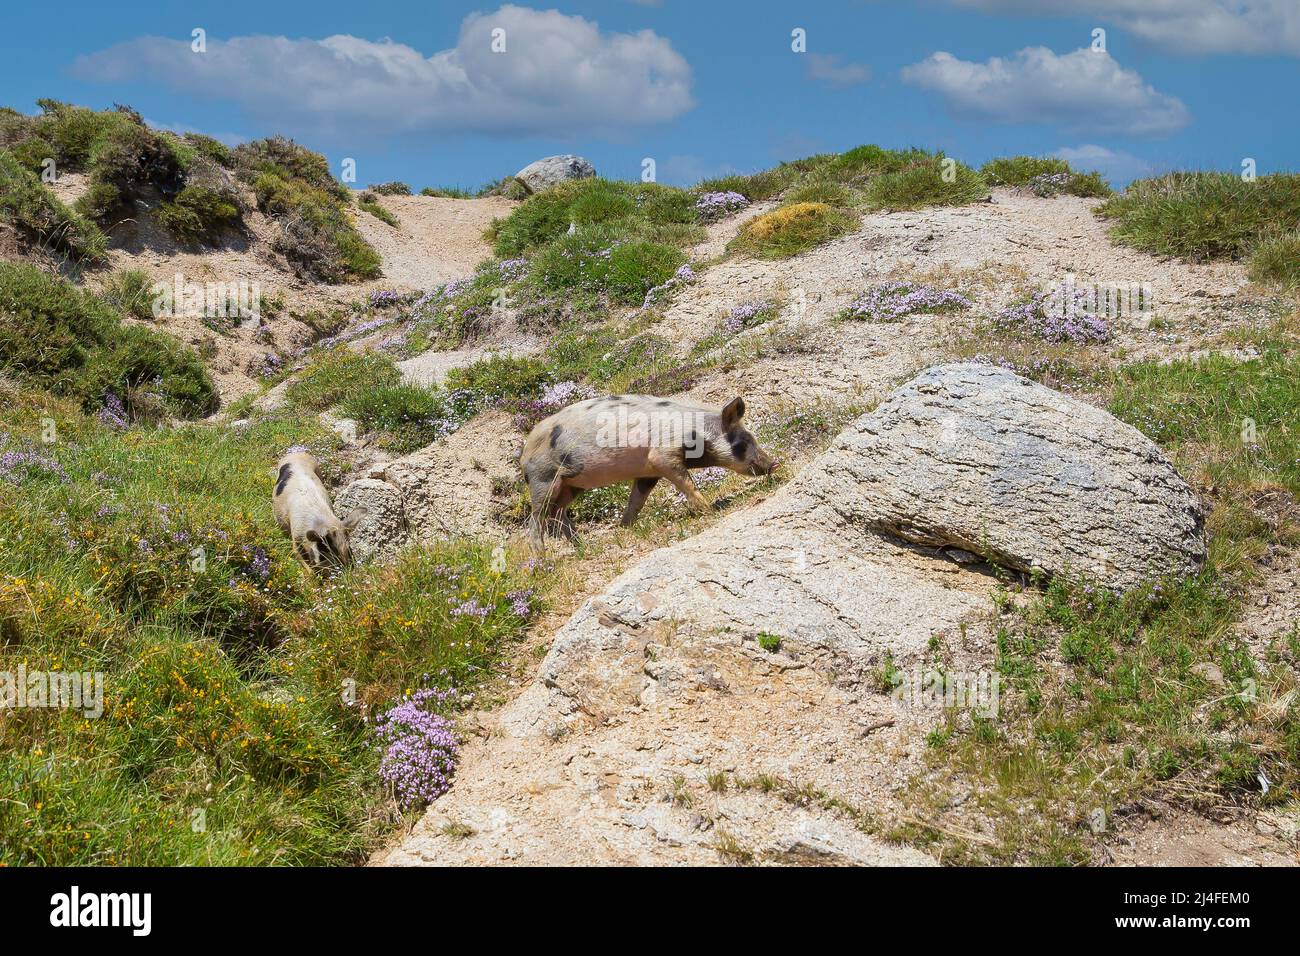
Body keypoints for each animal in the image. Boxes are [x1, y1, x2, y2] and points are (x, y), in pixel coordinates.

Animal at [520, 394, 777, 546]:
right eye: (743, 442)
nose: (775, 463)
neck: (697, 433)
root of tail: (523, 453)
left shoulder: (648, 472)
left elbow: (637, 501)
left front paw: (625, 527)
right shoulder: (662, 455)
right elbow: (688, 483)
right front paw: (710, 510)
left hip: (571, 485)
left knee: (558, 514)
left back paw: (585, 546)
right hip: (544, 479)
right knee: (536, 519)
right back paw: (542, 560)